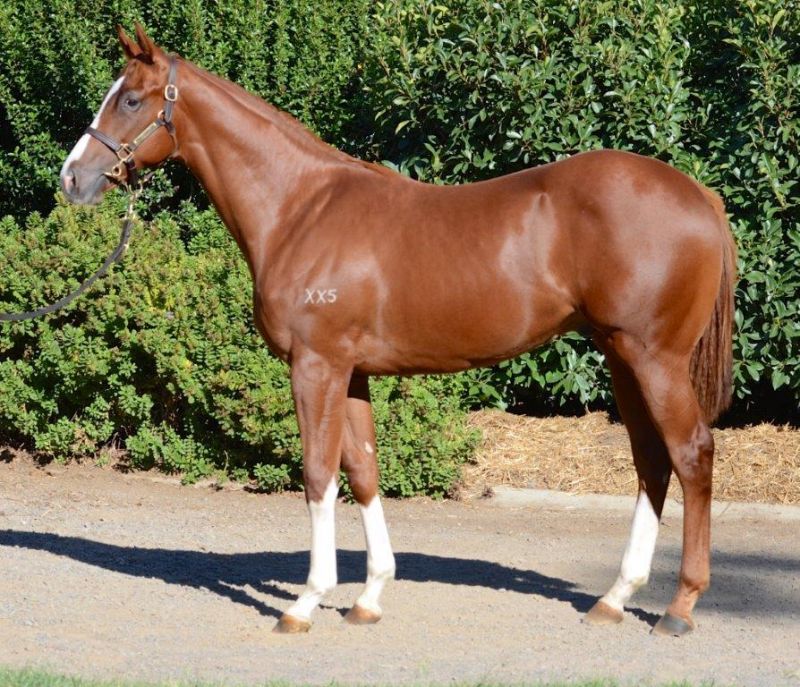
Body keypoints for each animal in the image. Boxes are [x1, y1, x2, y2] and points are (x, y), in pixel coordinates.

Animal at [60, 24, 736, 637]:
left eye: (130, 99)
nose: (72, 178)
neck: (299, 207)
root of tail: (701, 196)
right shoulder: (353, 372)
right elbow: (362, 470)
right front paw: (369, 597)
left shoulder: (316, 365)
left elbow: (318, 474)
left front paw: (305, 602)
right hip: (622, 356)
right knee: (651, 461)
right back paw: (615, 598)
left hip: (653, 358)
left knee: (691, 453)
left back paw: (679, 608)